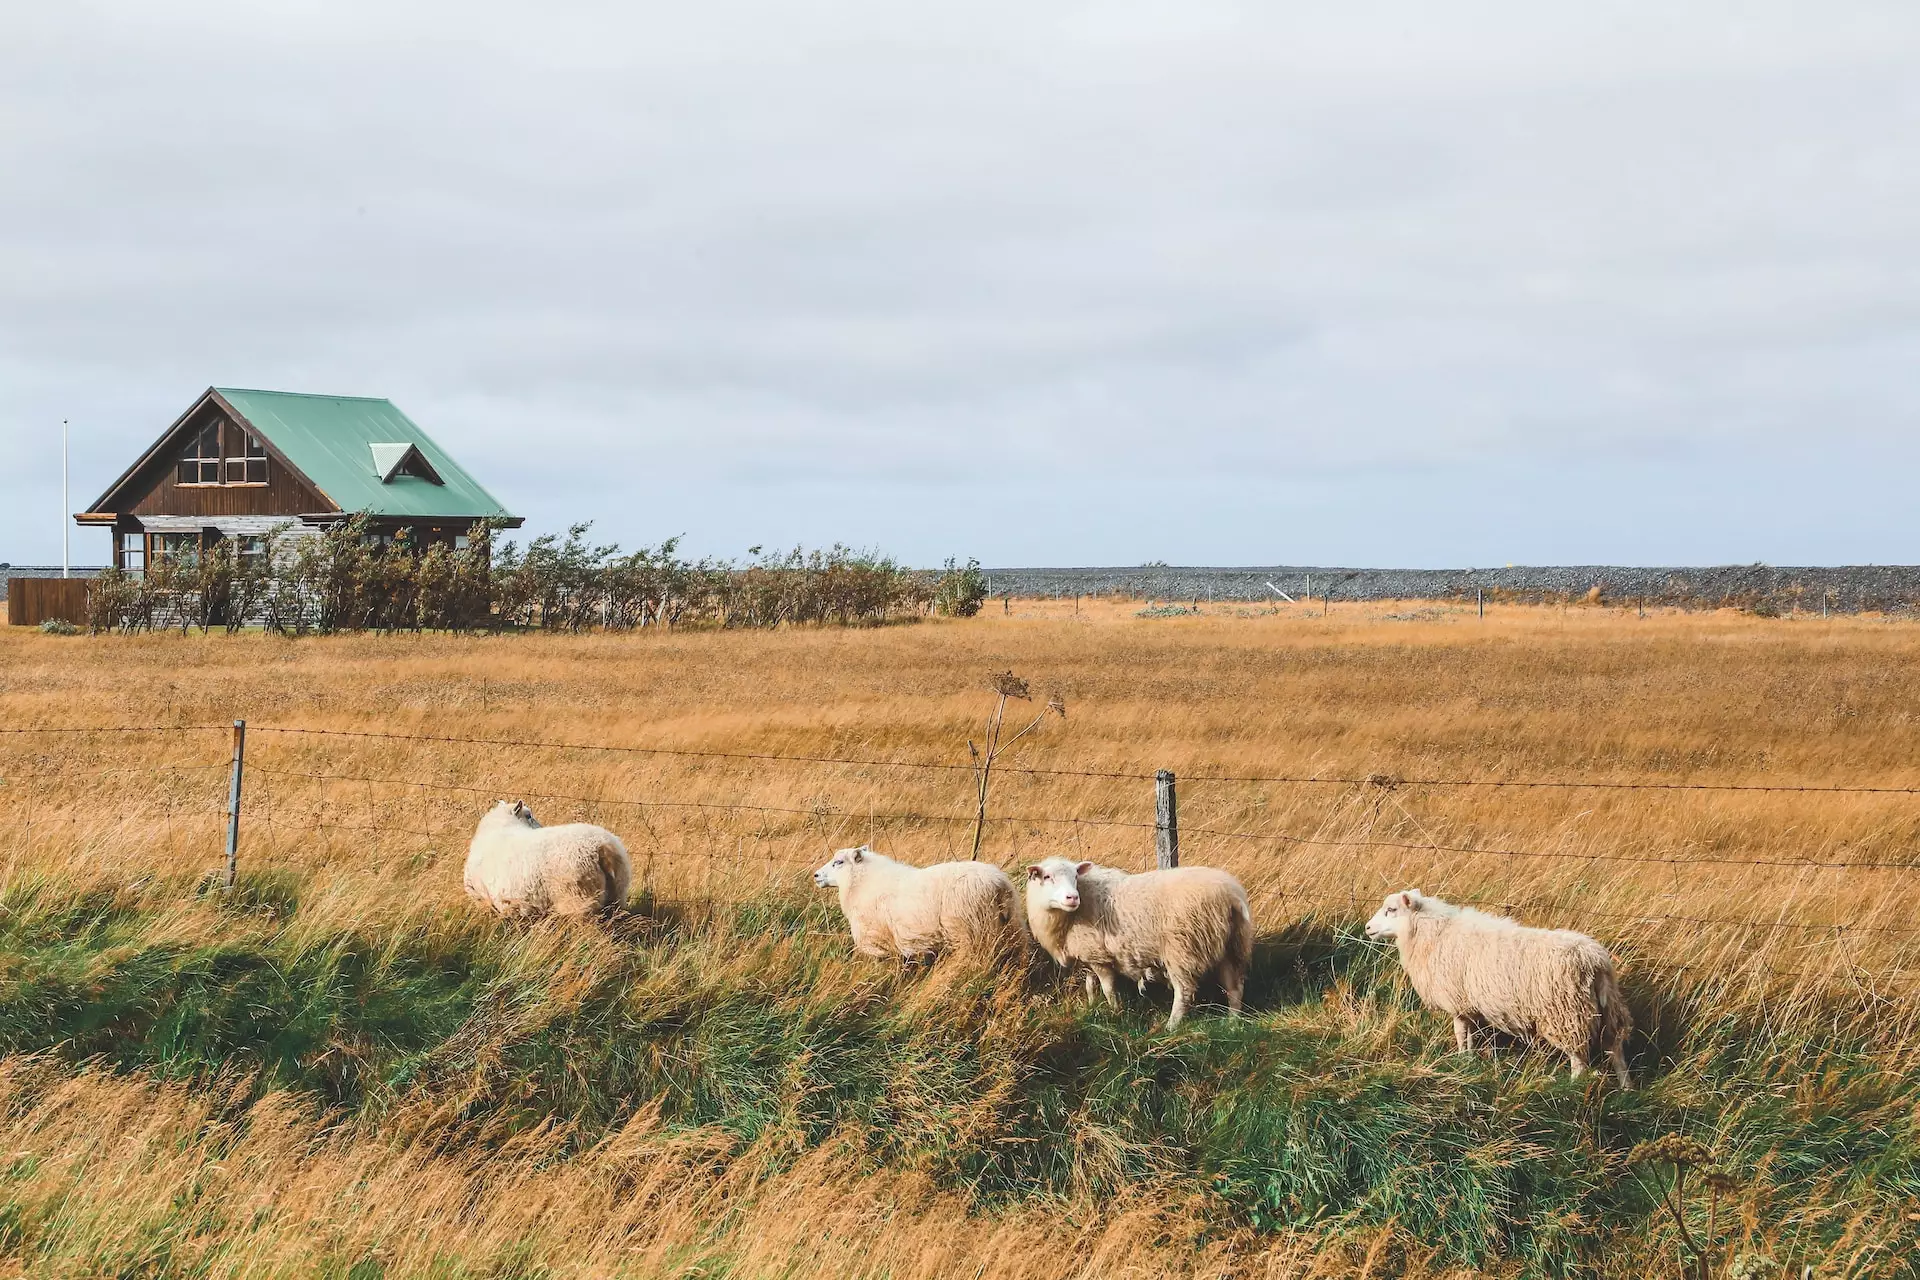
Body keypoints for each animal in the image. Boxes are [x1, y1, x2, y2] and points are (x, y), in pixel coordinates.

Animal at [813, 845, 1023, 963]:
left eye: (838, 862)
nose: (816, 875)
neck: (863, 882)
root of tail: (999, 884)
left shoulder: (876, 941)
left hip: (973, 933)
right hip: (1012, 928)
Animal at [1024, 857, 1253, 1030]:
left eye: (1075, 876)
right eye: (1047, 877)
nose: (1072, 897)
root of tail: (1232, 896)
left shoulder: (1100, 959)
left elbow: (1108, 989)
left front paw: (1116, 1014)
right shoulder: (1089, 954)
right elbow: (1090, 986)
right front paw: (1091, 1007)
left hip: (1182, 949)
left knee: (1184, 992)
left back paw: (1171, 1026)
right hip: (1231, 946)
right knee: (1235, 987)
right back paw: (1233, 1024)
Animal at [1364, 889, 1632, 1086]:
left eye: (1391, 910)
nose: (1367, 928)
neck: (1432, 933)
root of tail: (1595, 960)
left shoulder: (1456, 1001)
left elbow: (1460, 1033)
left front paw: (1461, 1058)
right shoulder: (1467, 1004)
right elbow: (1469, 1034)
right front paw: (1469, 1060)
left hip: (1566, 1013)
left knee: (1579, 1058)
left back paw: (1573, 1085)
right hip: (1608, 1009)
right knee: (1616, 1048)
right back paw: (1626, 1087)